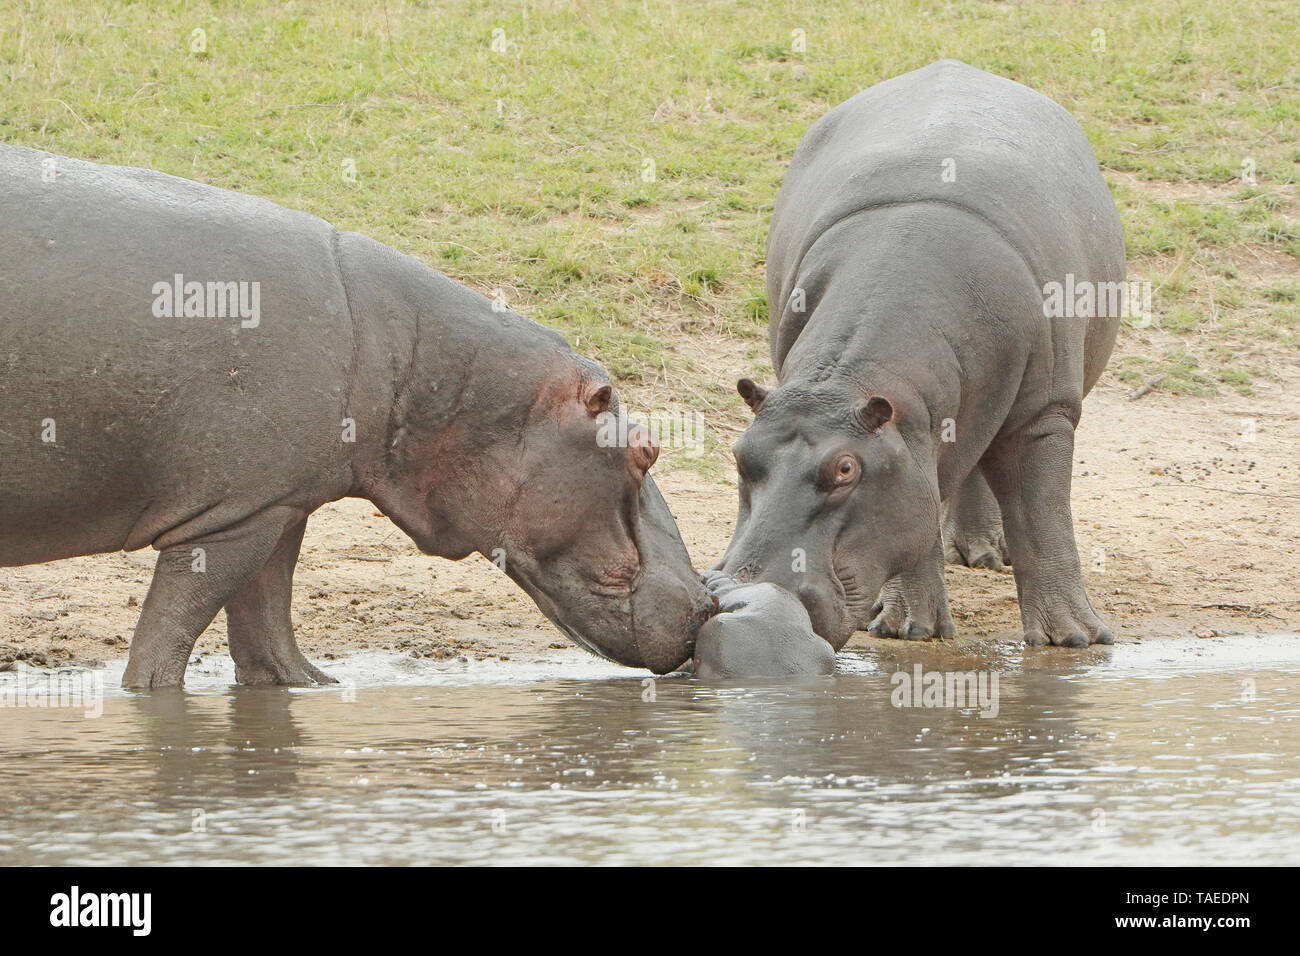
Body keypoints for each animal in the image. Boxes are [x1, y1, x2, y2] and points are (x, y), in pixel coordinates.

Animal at [0, 145, 714, 688]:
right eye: (646, 449)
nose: (709, 598)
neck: (420, 362)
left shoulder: (277, 507)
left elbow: (271, 639)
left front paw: (312, 685)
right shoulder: (227, 517)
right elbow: (162, 653)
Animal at [719, 61, 1125, 650]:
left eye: (846, 468)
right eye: (739, 453)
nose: (745, 594)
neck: (846, 381)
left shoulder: (1043, 413)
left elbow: (1043, 516)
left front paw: (1074, 639)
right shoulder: (910, 428)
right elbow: (916, 515)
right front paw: (910, 627)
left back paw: (988, 557)